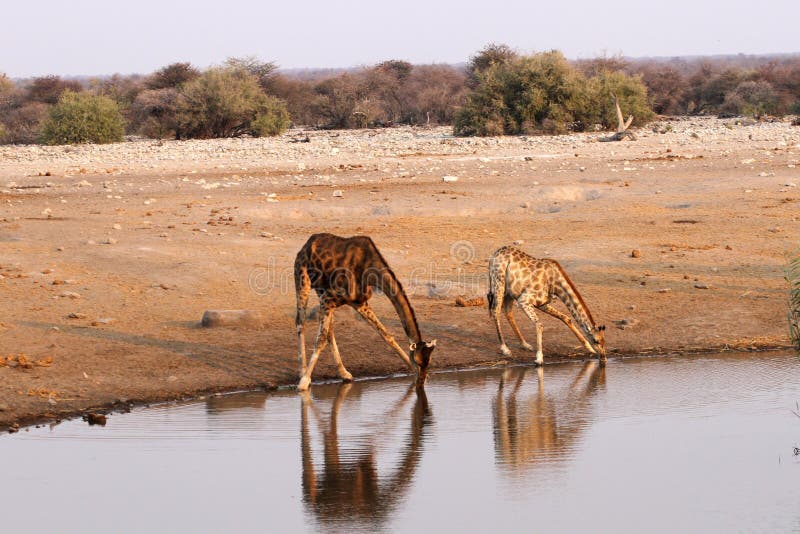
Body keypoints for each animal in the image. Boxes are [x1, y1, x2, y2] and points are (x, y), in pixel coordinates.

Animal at [294, 233, 436, 391]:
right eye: (418, 361)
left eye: (428, 361)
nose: (421, 382)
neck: (370, 272)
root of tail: (307, 245)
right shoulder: (329, 298)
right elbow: (320, 339)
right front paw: (304, 382)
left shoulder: (359, 303)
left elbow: (386, 334)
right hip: (303, 281)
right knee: (301, 323)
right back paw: (302, 372)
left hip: (321, 292)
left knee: (329, 330)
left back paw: (344, 373)